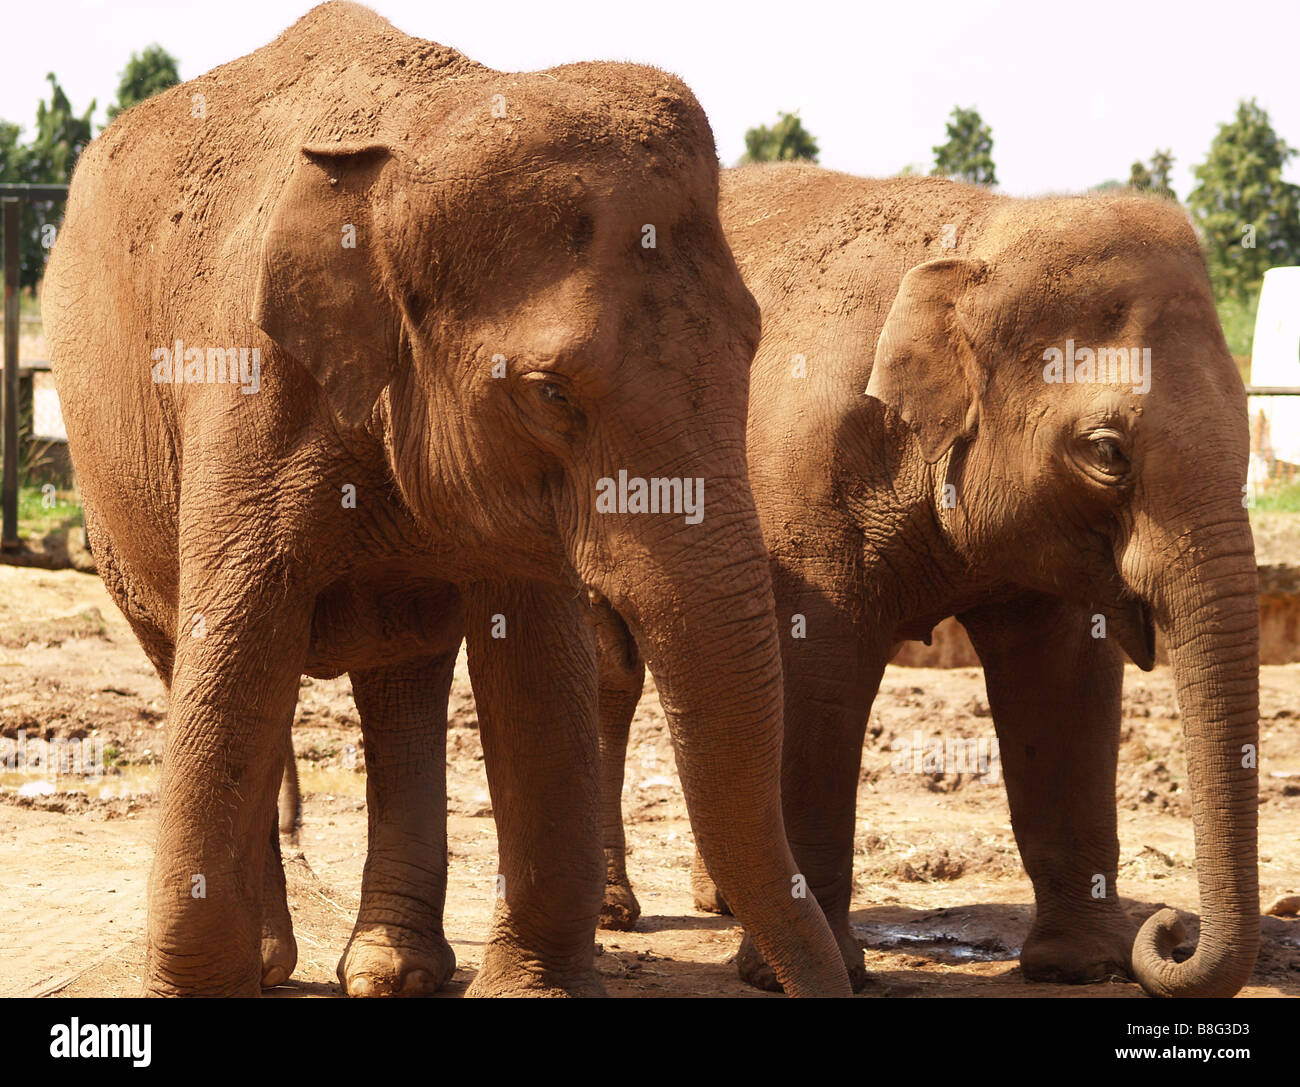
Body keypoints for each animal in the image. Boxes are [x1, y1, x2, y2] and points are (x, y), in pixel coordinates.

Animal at [43, 4, 851, 998]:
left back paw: (393, 970)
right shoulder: (248, 386)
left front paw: (533, 986)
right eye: (551, 393)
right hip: (110, 494)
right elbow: (240, 642)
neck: (415, 135)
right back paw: (286, 963)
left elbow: (538, 665)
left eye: (753, 347)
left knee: (406, 675)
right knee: (185, 654)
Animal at [596, 162, 1261, 999]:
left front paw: (1080, 965)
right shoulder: (802, 481)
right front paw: (796, 973)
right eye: (1107, 451)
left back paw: (718, 897)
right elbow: (817, 681)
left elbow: (1063, 687)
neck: (979, 241)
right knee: (609, 671)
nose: (1171, 929)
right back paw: (614, 910)